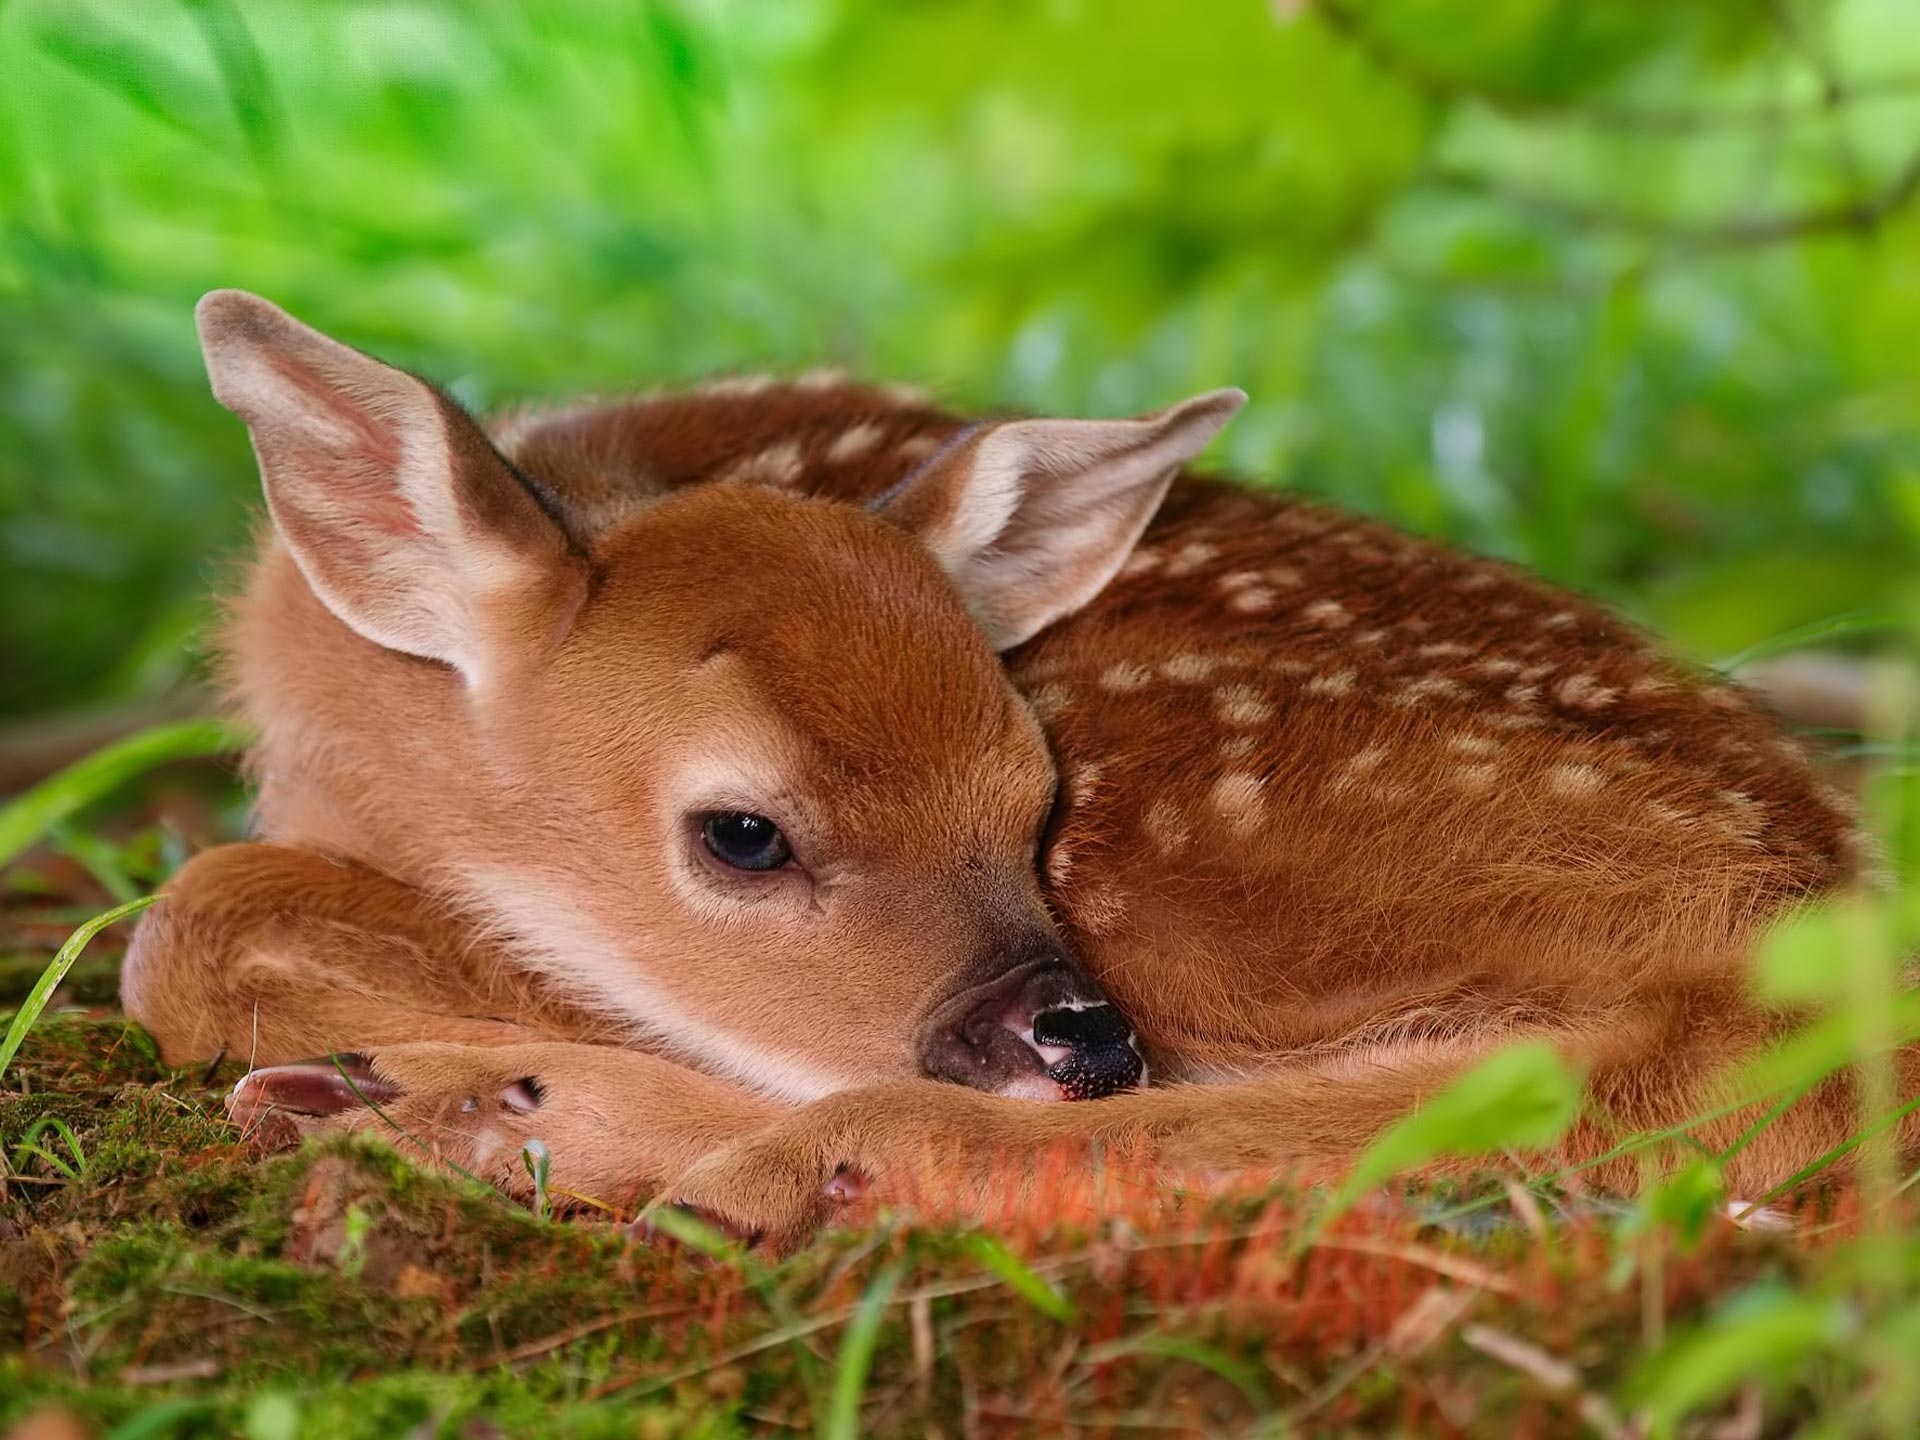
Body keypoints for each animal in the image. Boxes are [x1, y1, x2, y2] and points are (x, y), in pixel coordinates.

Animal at [118, 289, 1895, 1250]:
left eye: (1029, 799)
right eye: (744, 834)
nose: (1079, 1038)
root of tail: (1813, 927)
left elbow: (186, 930)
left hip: (1213, 872)